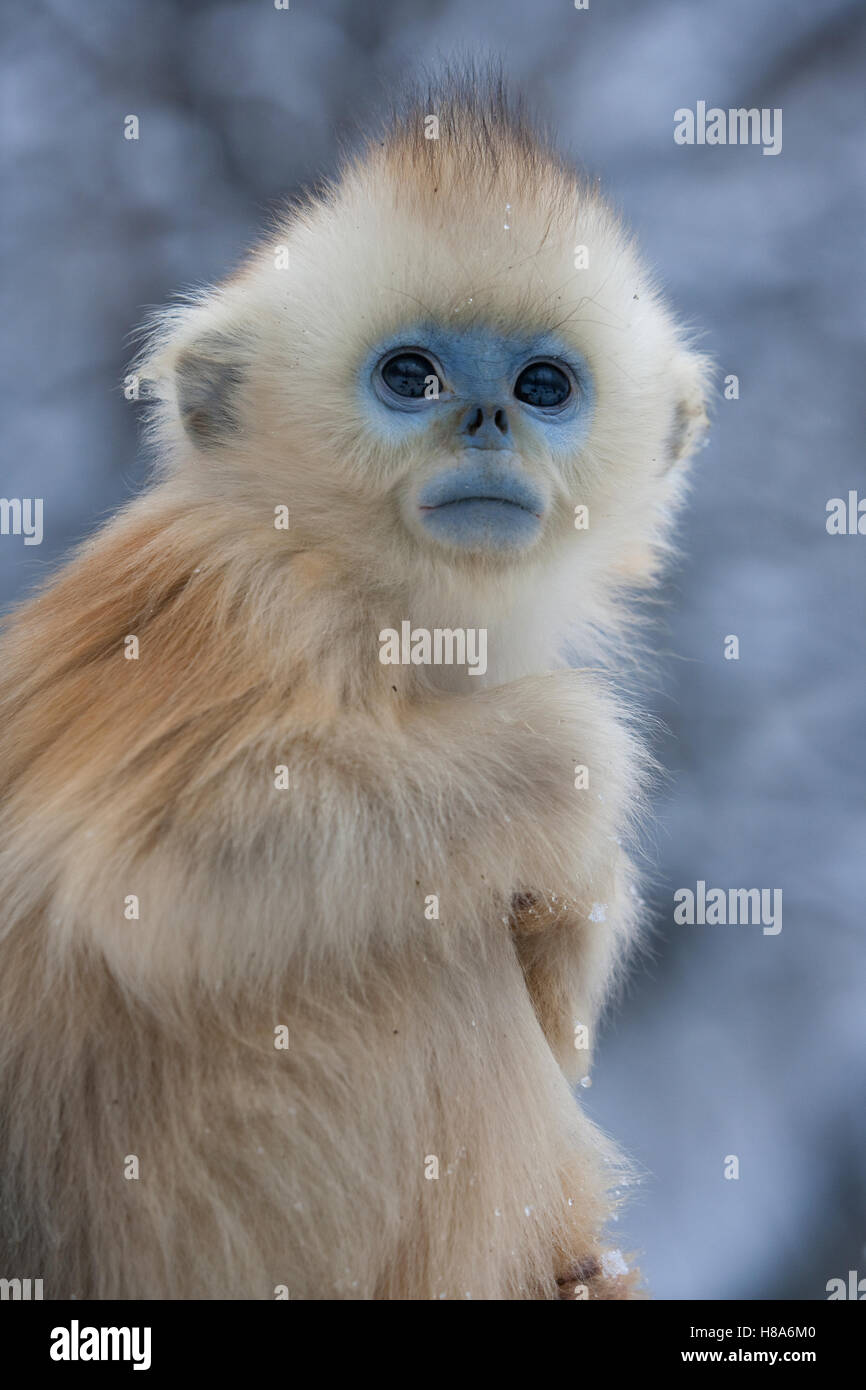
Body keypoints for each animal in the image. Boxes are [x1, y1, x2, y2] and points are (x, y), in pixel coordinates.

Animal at [0, 70, 709, 1300]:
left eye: (542, 385)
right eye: (409, 377)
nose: (487, 420)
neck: (373, 592)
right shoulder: (256, 606)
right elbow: (154, 874)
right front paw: (571, 771)